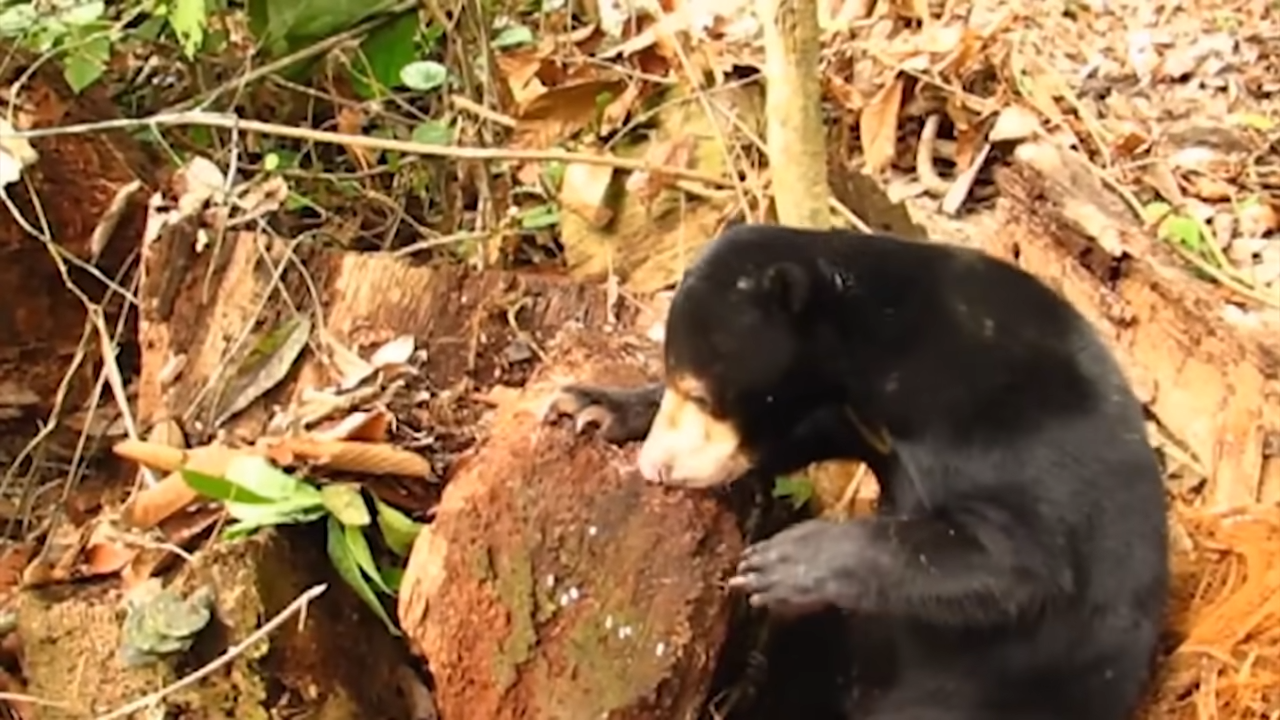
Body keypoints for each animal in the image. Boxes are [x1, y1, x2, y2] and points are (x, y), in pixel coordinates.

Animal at [545, 222, 1170, 720]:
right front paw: (594, 407)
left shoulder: (995, 423)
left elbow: (1019, 559)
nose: (656, 466)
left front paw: (782, 564)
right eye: (679, 383)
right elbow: (805, 432)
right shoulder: (855, 415)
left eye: (701, 394)